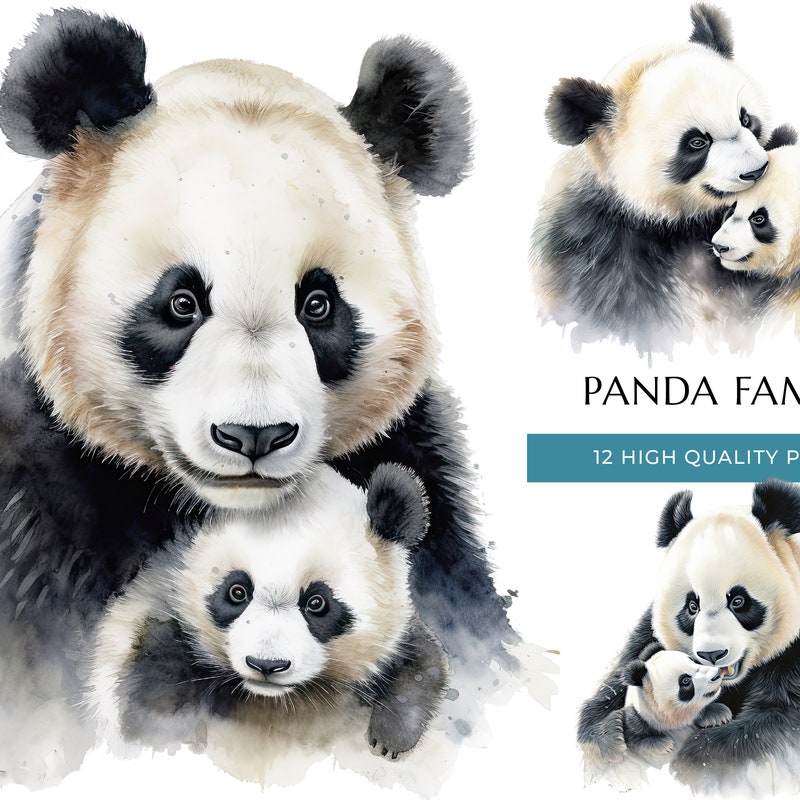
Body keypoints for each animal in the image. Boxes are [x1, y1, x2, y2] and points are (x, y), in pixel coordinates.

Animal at [88, 463, 446, 773]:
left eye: (317, 603)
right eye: (237, 592)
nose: (266, 665)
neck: (275, 699)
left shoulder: (394, 638)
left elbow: (424, 663)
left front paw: (390, 739)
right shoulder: (160, 619)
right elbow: (150, 703)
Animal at [578, 480, 800, 793]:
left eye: (739, 601)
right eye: (692, 606)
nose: (712, 655)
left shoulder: (793, 654)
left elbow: (776, 717)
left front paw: (693, 762)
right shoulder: (647, 636)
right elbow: (620, 678)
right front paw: (608, 742)